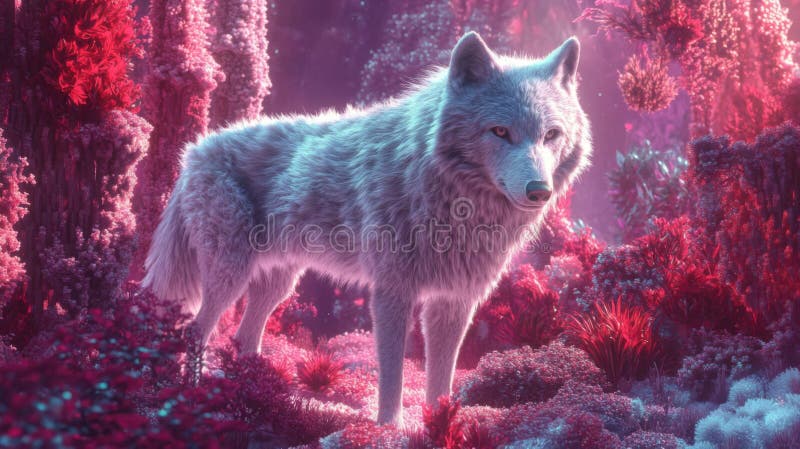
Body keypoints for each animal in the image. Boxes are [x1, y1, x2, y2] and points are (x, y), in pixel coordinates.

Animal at [143, 31, 591, 425]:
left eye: (551, 135)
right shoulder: (392, 292)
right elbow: (392, 373)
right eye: (500, 131)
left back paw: (254, 394)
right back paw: (195, 396)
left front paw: (439, 423)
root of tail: (195, 150)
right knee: (194, 331)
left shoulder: (455, 300)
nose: (539, 191)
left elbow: (441, 377)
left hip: (278, 284)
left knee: (243, 337)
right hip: (230, 275)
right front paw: (389, 427)